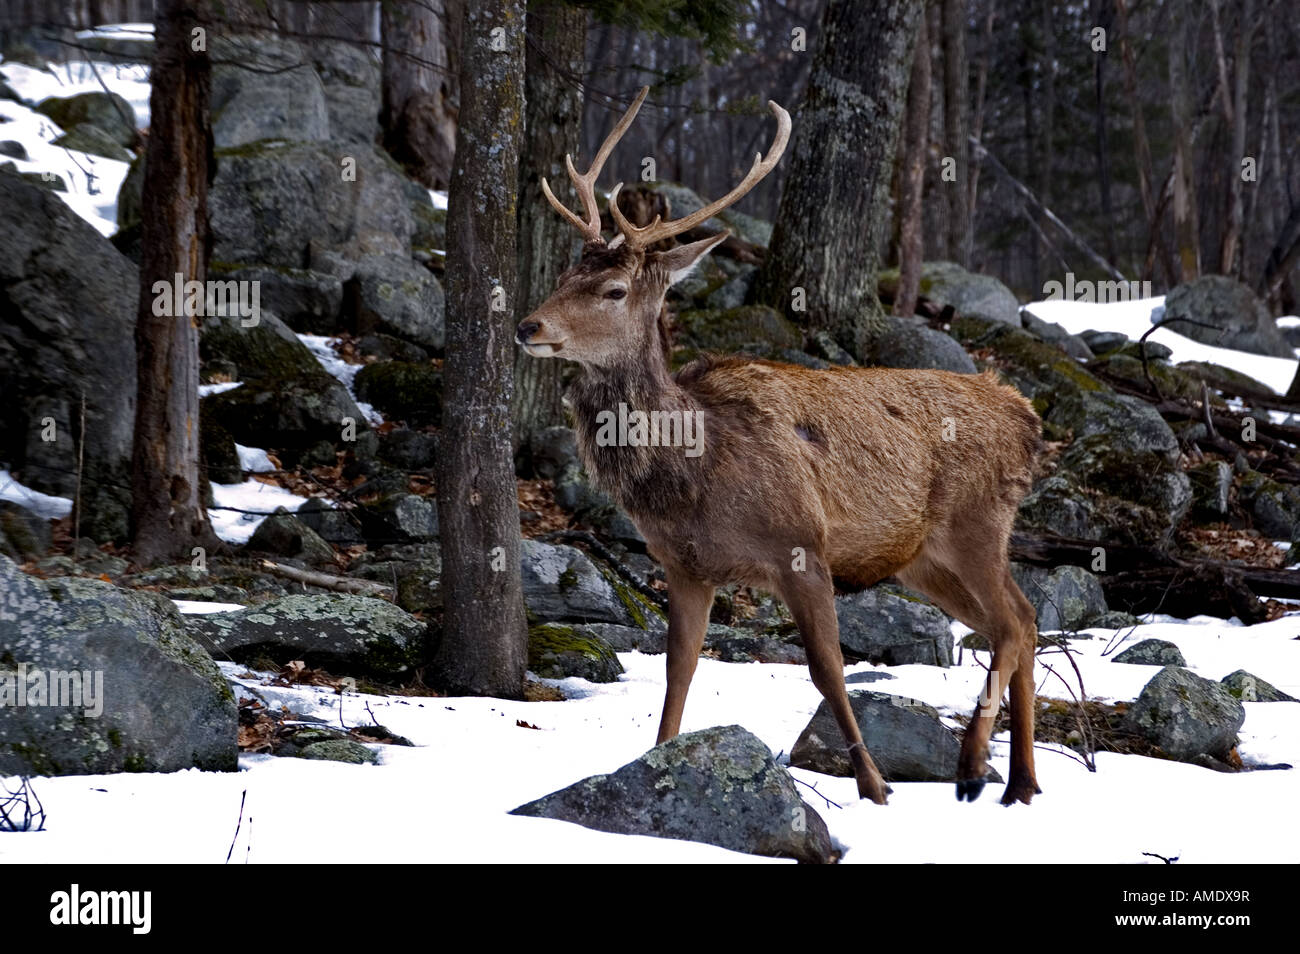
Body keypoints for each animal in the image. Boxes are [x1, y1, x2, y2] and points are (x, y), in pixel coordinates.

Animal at [516, 87, 1044, 806]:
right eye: (567, 272)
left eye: (613, 290)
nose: (527, 325)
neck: (696, 471)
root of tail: (1027, 417)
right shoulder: (685, 565)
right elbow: (679, 670)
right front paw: (655, 760)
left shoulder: (803, 546)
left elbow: (828, 671)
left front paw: (874, 786)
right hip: (924, 557)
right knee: (1019, 620)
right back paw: (1021, 782)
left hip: (978, 522)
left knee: (1013, 623)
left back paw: (972, 765)